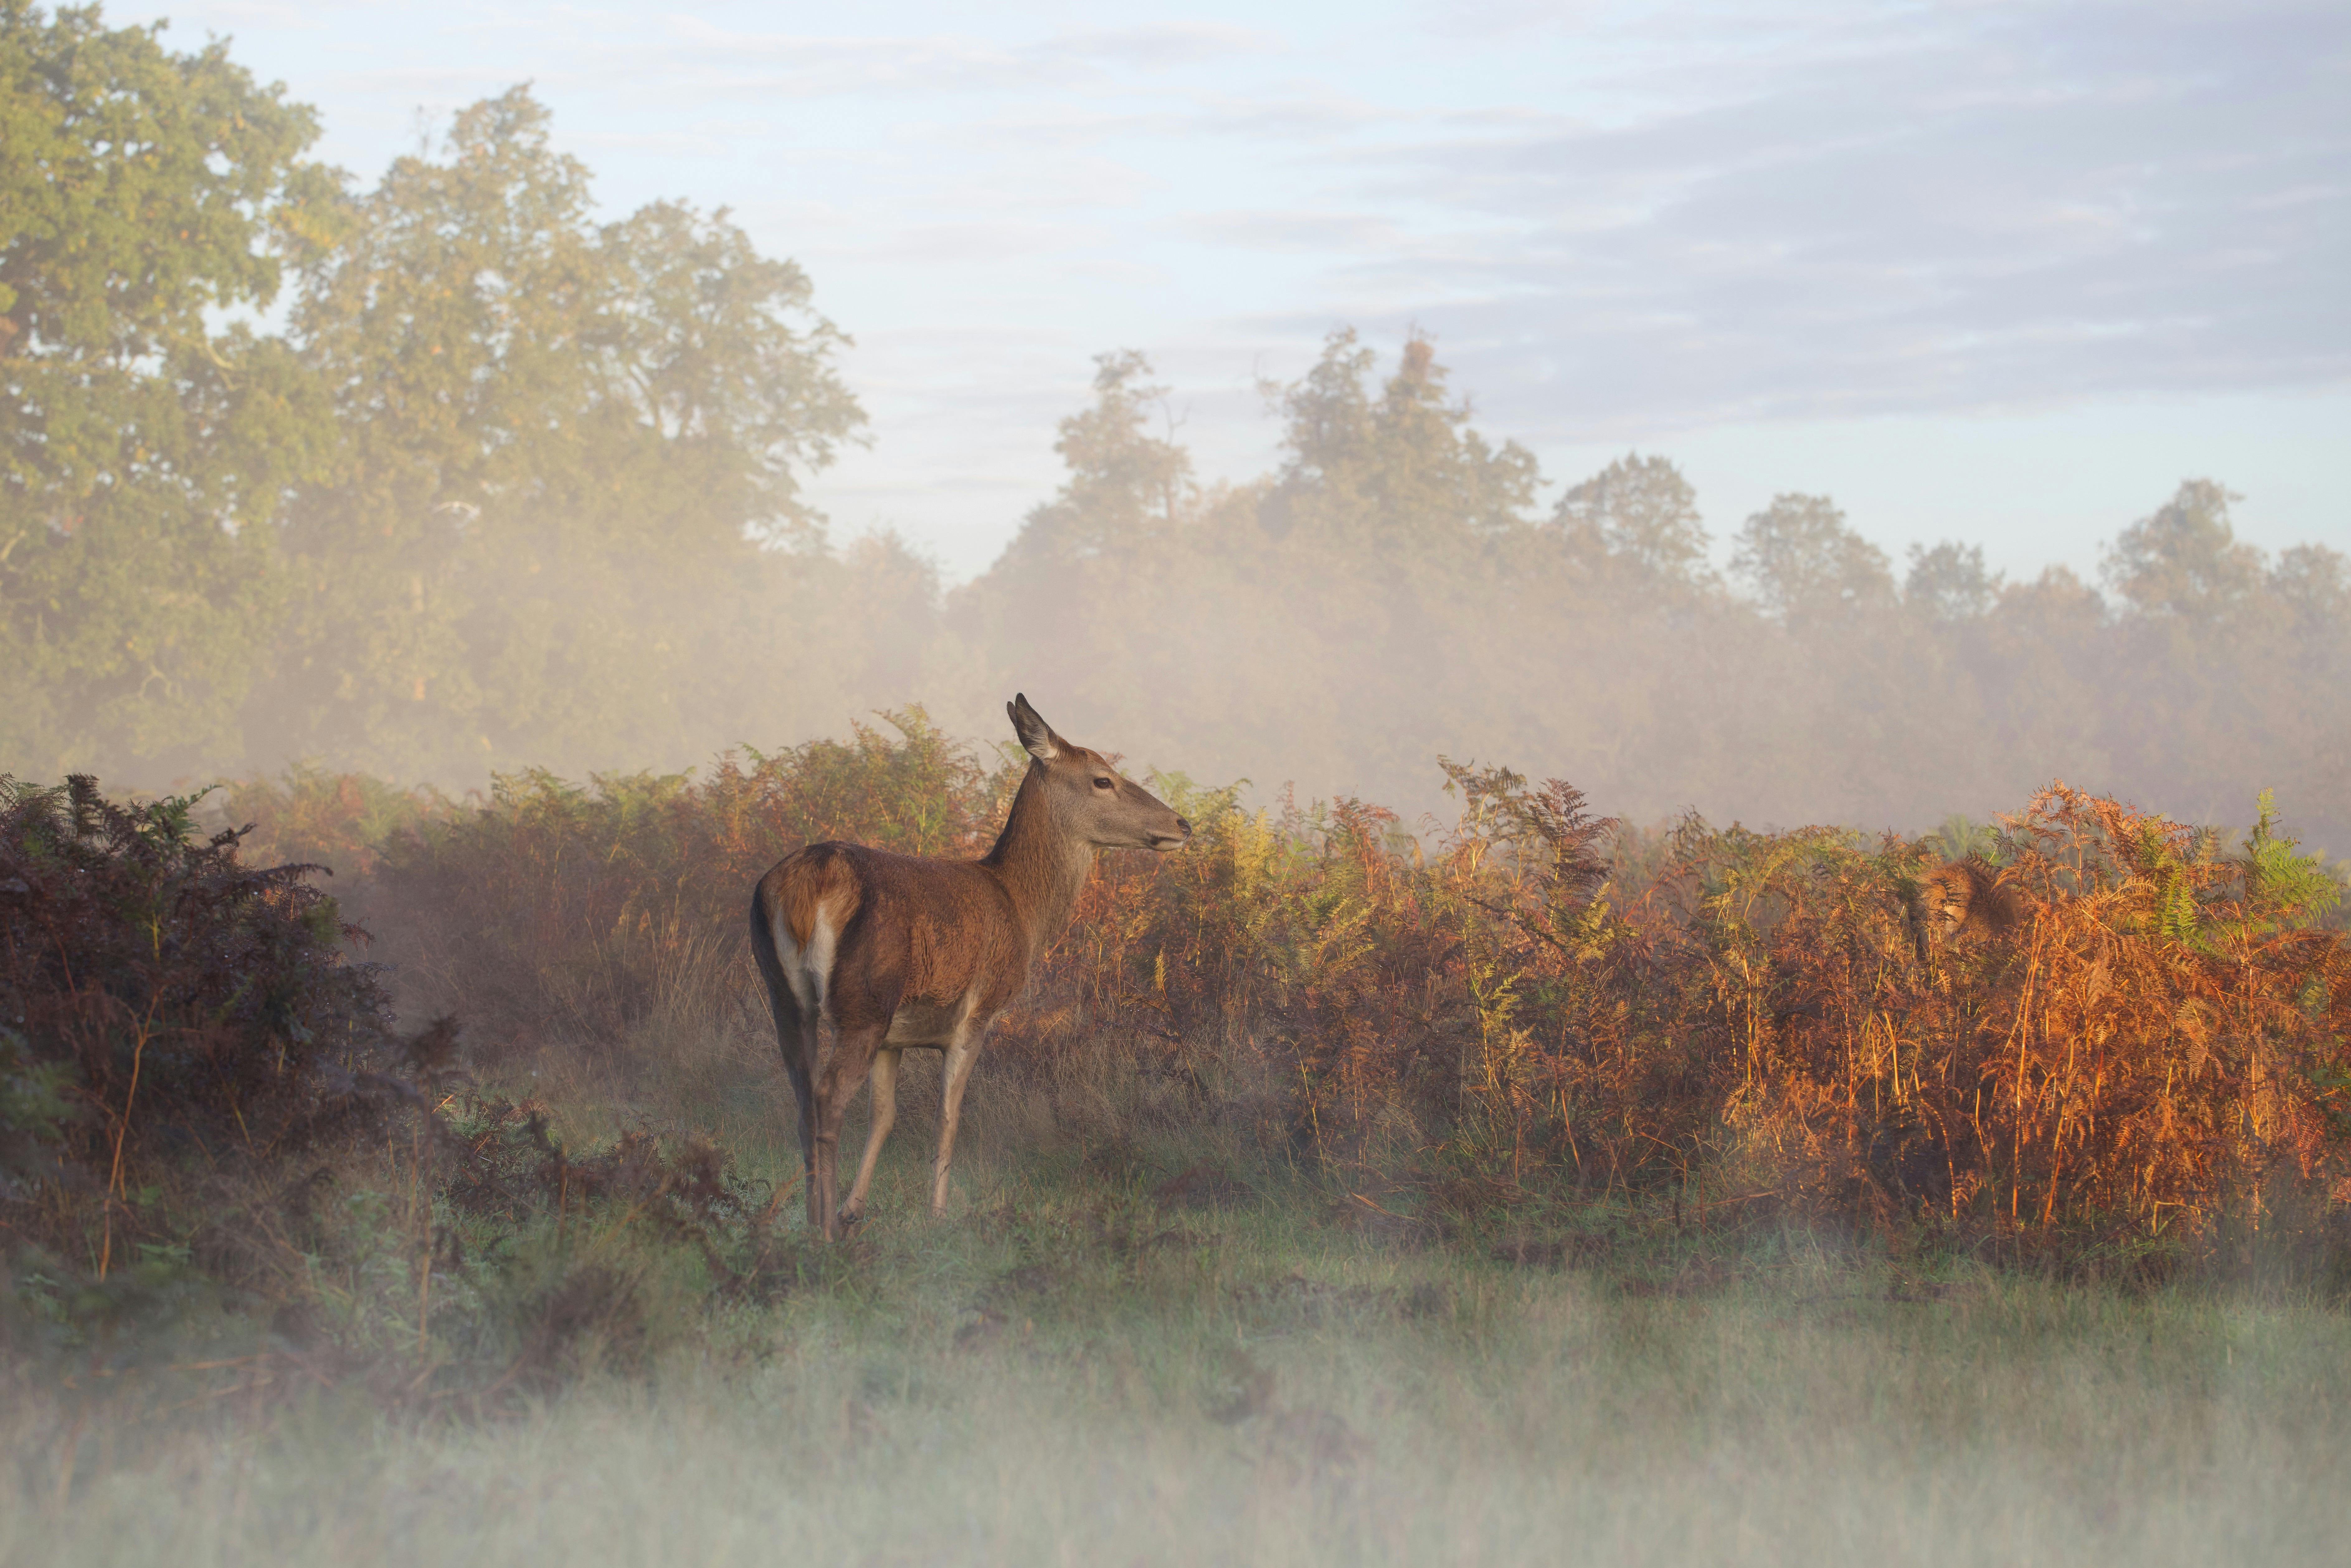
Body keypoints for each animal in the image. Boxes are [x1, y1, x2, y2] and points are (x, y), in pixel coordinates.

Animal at [748, 695, 1190, 1240]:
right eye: (1102, 778)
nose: (1183, 824)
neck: (1023, 908)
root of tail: (805, 886)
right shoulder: (977, 1015)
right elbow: (949, 1115)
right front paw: (936, 1214)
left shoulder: (896, 1036)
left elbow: (885, 1114)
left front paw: (856, 1207)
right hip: (863, 1001)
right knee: (828, 1096)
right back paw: (825, 1232)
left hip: (786, 997)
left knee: (802, 1098)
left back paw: (813, 1219)